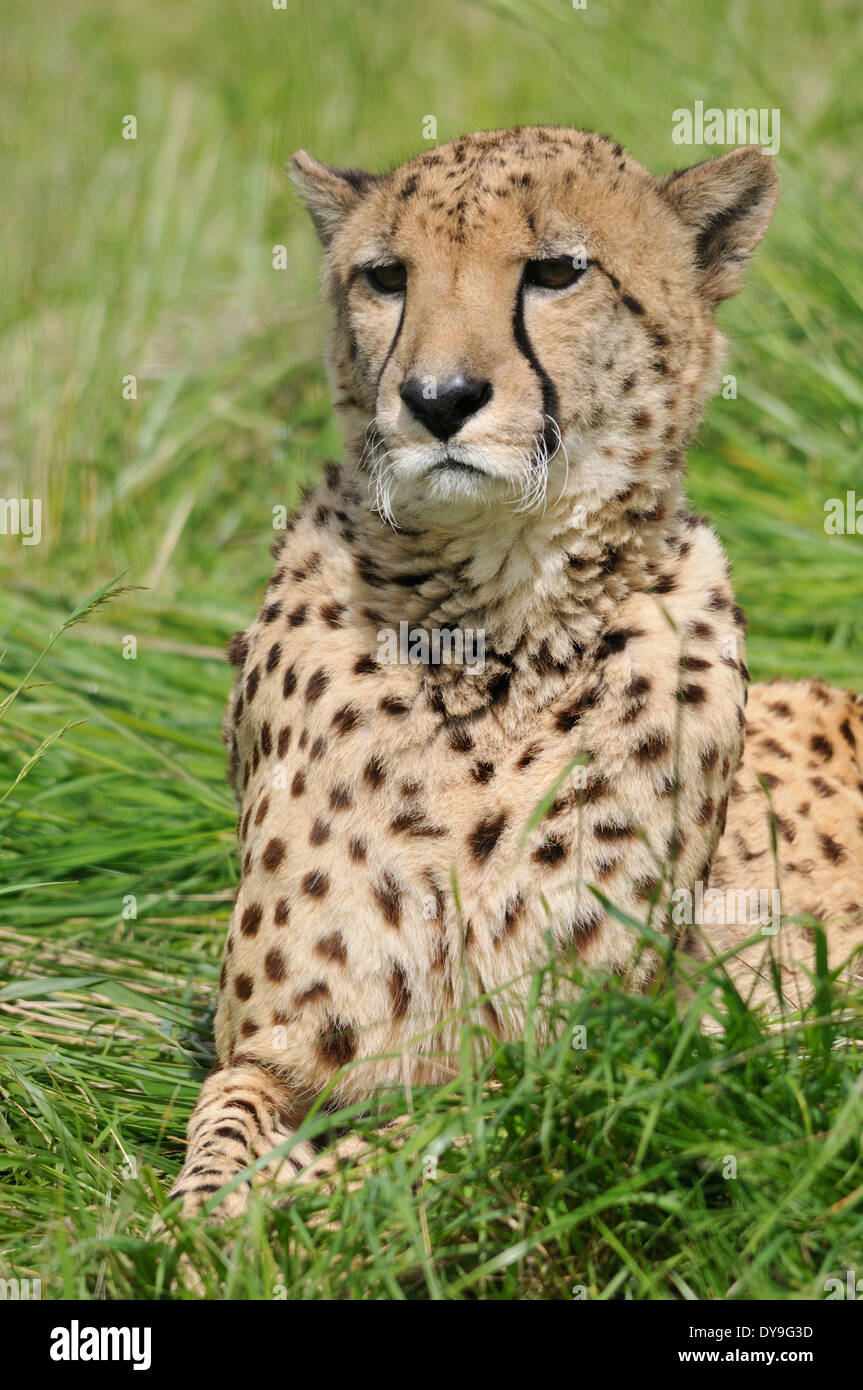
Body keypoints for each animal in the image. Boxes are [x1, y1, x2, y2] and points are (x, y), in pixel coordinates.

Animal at [167, 126, 863, 1221]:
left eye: (555, 271)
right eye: (385, 276)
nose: (437, 401)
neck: (488, 635)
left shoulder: (577, 1065)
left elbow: (399, 1143)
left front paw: (291, 1195)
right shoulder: (266, 1051)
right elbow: (219, 1140)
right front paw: (208, 1208)